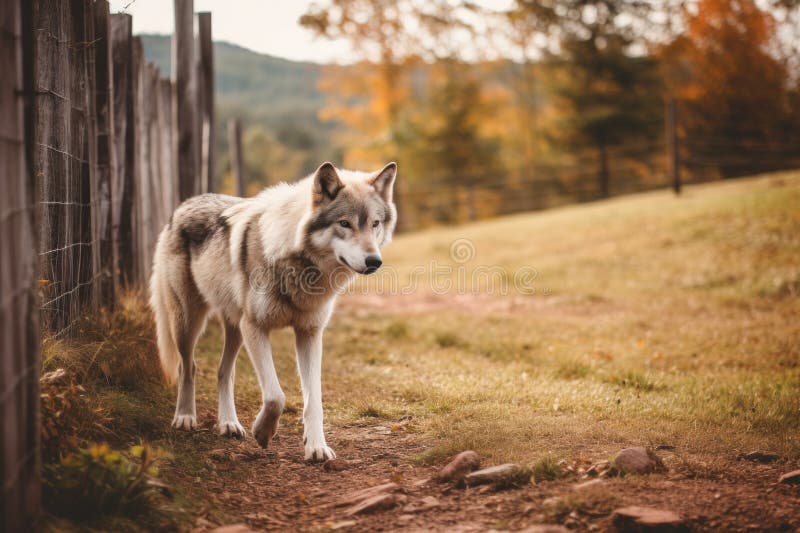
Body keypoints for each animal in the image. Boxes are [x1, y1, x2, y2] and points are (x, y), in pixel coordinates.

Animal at [149, 161, 397, 461]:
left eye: (375, 224)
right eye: (344, 223)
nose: (374, 261)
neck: (299, 267)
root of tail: (185, 203)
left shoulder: (309, 334)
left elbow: (313, 401)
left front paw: (316, 447)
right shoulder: (256, 328)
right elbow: (275, 396)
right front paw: (263, 432)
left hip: (235, 329)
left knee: (223, 371)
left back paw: (228, 423)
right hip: (189, 322)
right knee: (188, 366)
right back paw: (185, 417)